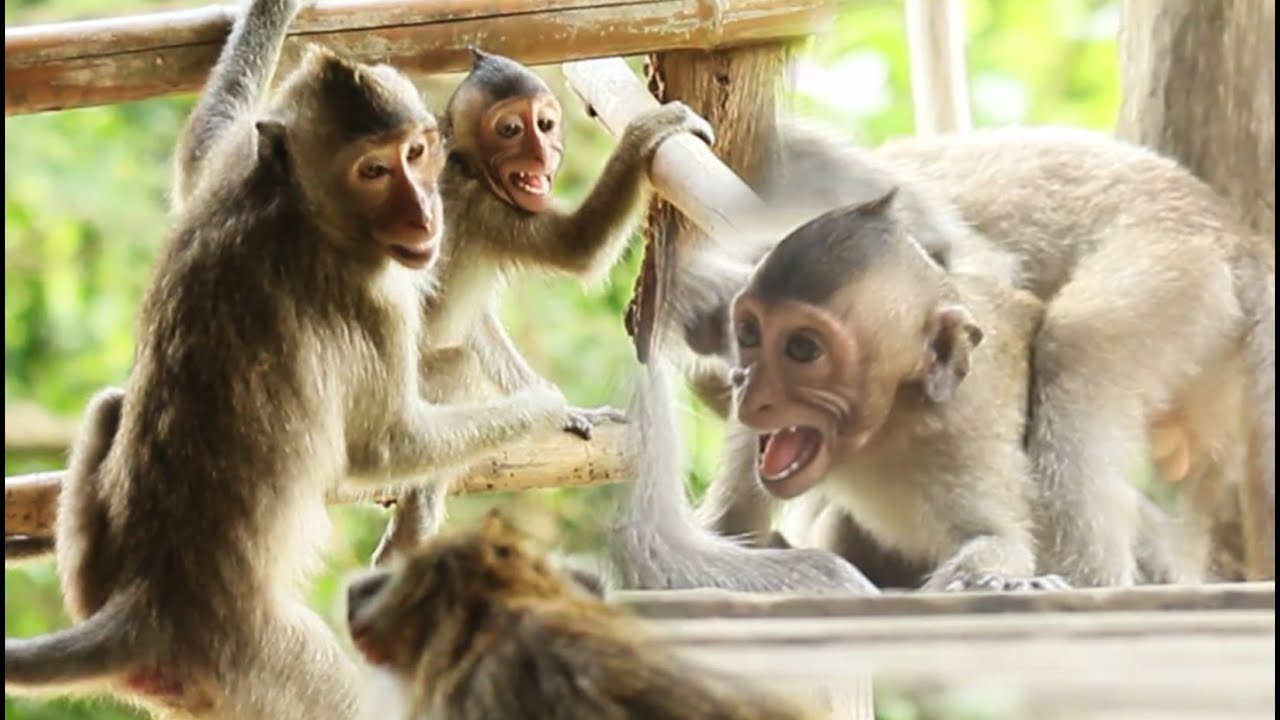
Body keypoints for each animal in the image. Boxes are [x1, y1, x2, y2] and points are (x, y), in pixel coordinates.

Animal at [4, 1, 587, 715]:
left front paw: (269, 11)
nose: (426, 214)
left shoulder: (232, 170)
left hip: (95, 578)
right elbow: (383, 446)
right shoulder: (368, 299)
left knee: (110, 408)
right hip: (269, 660)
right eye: (373, 171)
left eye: (416, 153)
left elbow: (201, 150)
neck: (293, 202)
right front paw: (546, 406)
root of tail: (140, 614)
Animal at [369, 49, 718, 565]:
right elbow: (579, 246)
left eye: (546, 124)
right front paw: (652, 128)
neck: (467, 169)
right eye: (511, 130)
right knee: (456, 371)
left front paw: (565, 411)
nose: (542, 153)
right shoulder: (486, 211)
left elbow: (479, 325)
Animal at [661, 123, 1273, 589]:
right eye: (749, 331)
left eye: (802, 349)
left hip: (1177, 272)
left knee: (1073, 350)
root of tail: (1240, 241)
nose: (748, 384)